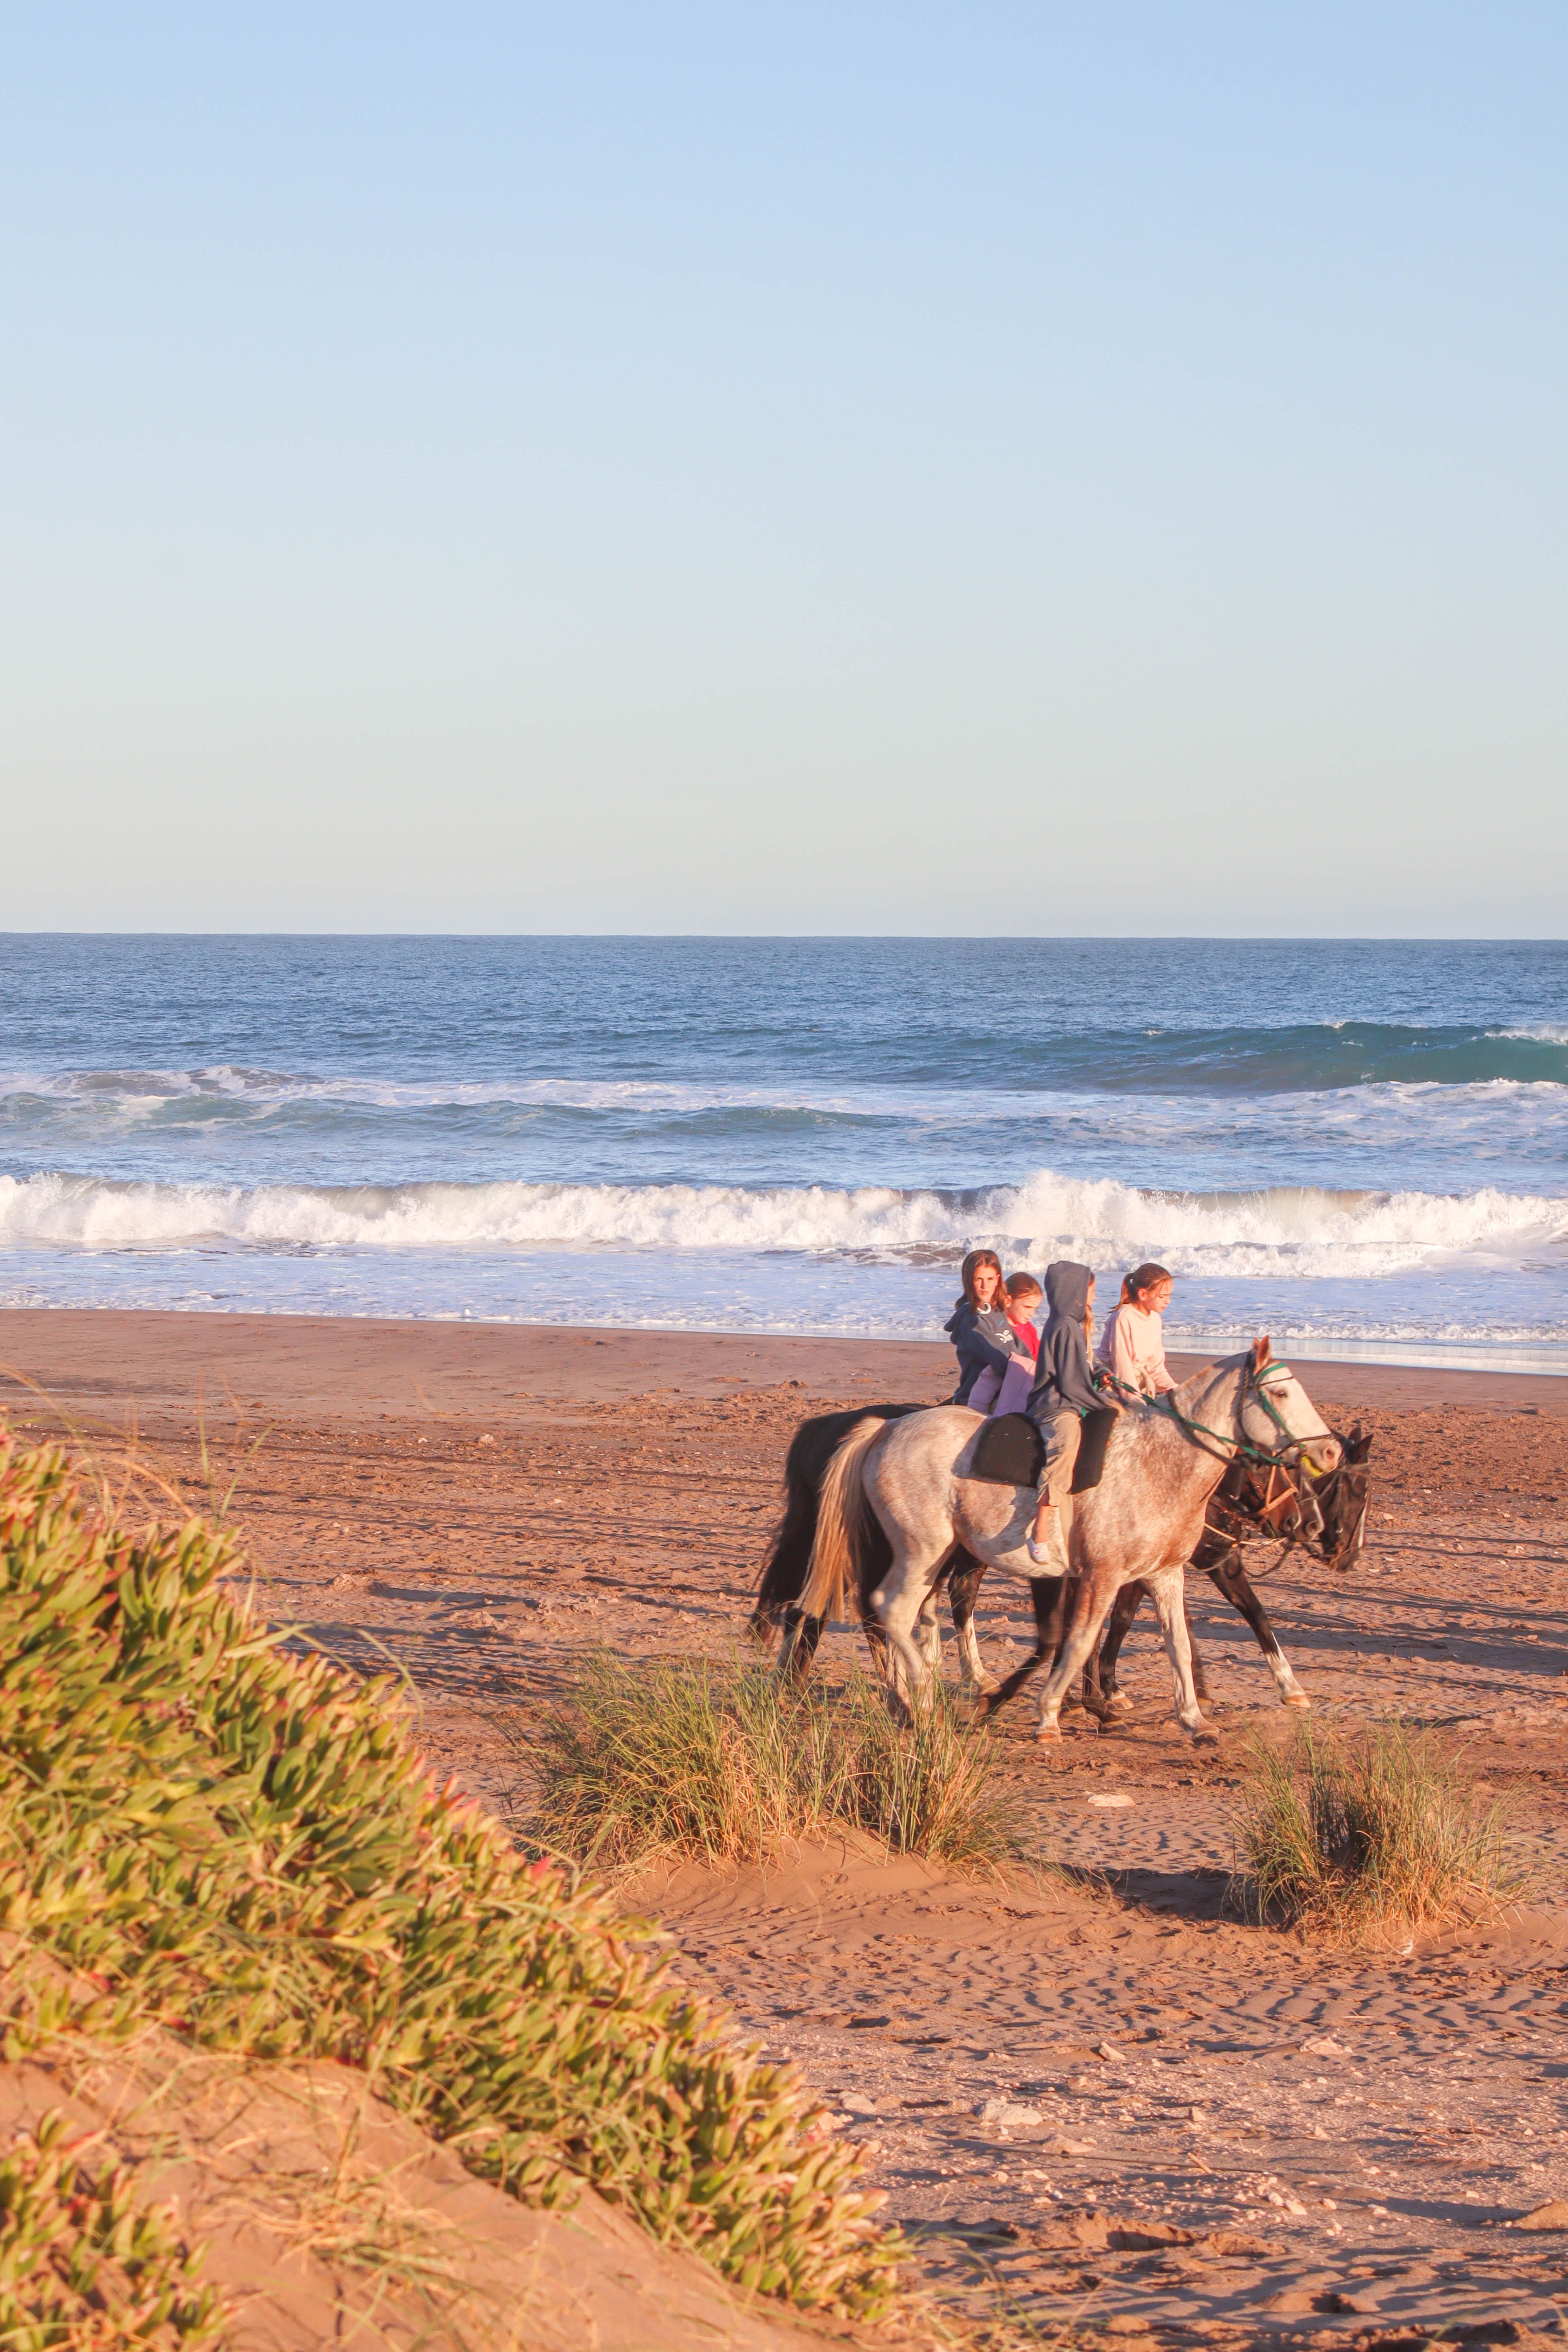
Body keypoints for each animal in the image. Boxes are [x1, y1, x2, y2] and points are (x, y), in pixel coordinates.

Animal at [797, 1340, 1341, 1741]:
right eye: (1281, 1393)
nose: (1331, 1451)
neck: (1157, 1463)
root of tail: (885, 1429)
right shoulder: (1101, 1577)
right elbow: (1078, 1643)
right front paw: (1050, 1712)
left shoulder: (1162, 1575)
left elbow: (1178, 1645)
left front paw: (1193, 1718)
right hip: (921, 1551)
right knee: (891, 1610)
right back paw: (920, 1699)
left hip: (942, 1556)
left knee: (913, 1615)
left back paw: (915, 1695)